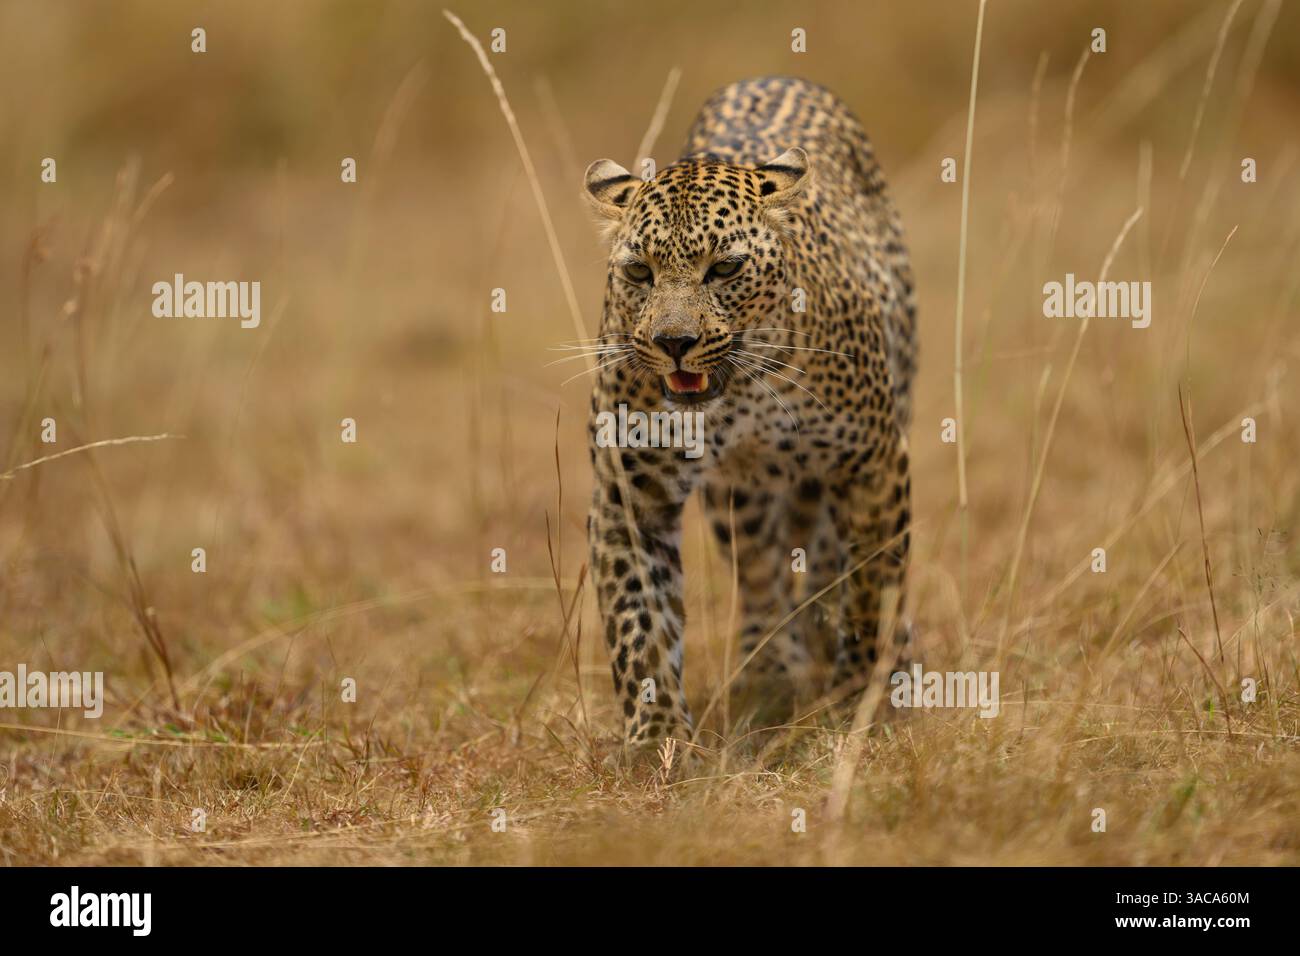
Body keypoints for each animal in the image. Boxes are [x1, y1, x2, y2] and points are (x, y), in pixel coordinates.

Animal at [582, 76, 916, 747]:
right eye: (639, 271)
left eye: (726, 268)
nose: (674, 342)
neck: (739, 397)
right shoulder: (629, 496)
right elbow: (638, 622)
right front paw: (657, 740)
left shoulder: (874, 464)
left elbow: (868, 586)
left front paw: (856, 694)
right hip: (743, 498)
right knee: (763, 575)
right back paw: (770, 672)